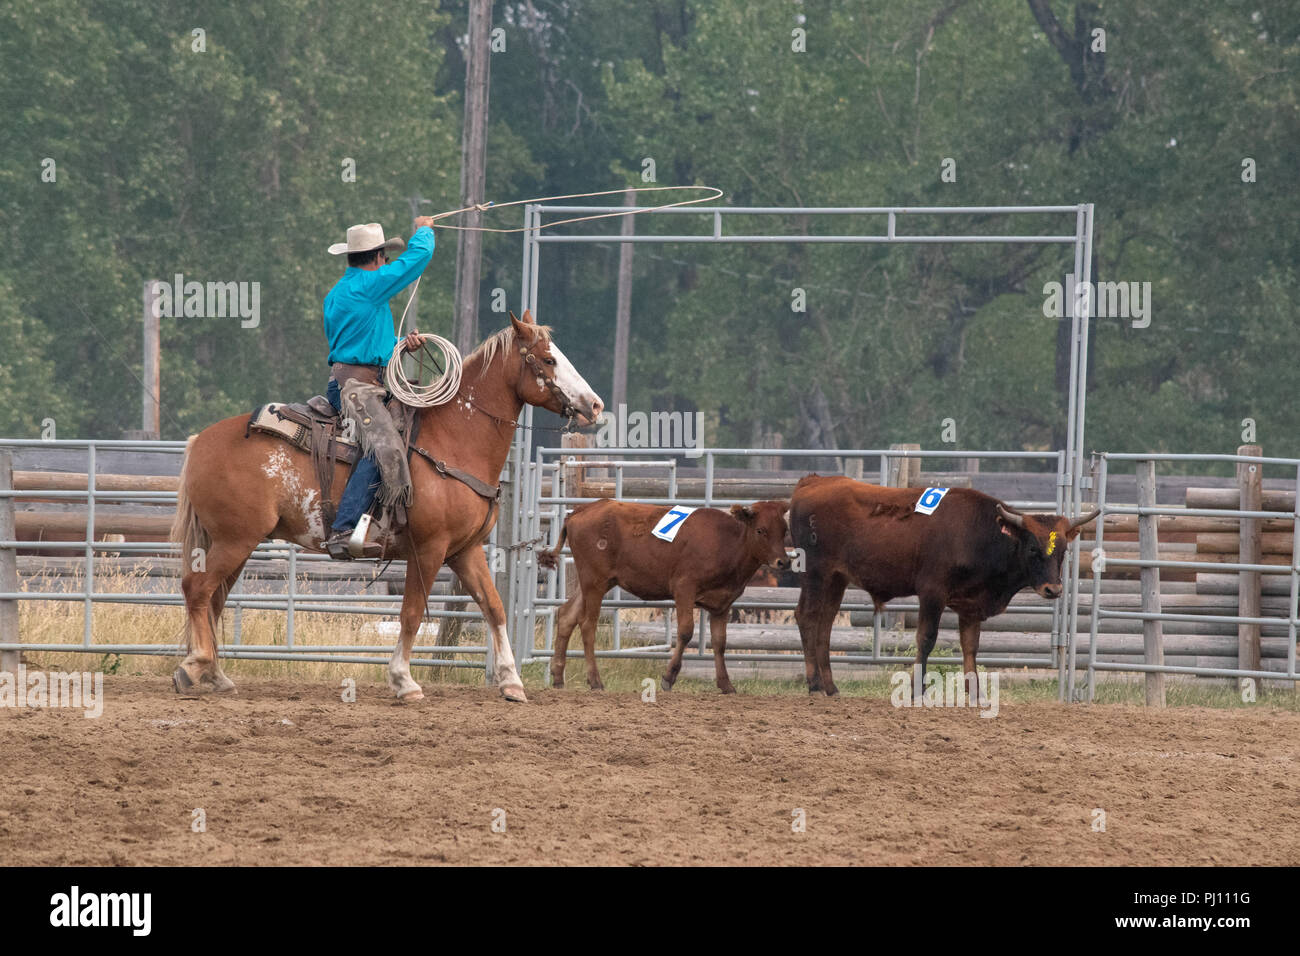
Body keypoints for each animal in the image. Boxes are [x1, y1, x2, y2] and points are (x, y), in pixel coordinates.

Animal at [537, 499, 791, 694]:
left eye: (785, 530)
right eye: (760, 530)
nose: (784, 562)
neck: (727, 542)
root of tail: (581, 511)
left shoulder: (723, 603)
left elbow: (720, 642)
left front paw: (726, 684)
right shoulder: (684, 589)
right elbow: (686, 631)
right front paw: (668, 678)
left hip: (591, 582)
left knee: (567, 615)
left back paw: (558, 677)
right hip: (594, 582)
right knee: (587, 624)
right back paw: (595, 680)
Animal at [789, 474, 1099, 698]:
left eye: (1063, 552)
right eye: (1033, 548)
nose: (1053, 589)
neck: (979, 533)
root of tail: (813, 482)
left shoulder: (971, 606)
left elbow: (970, 646)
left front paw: (974, 692)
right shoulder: (932, 593)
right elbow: (926, 638)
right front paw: (917, 688)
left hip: (835, 579)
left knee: (825, 624)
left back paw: (830, 687)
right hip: (815, 573)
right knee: (807, 616)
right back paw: (814, 684)